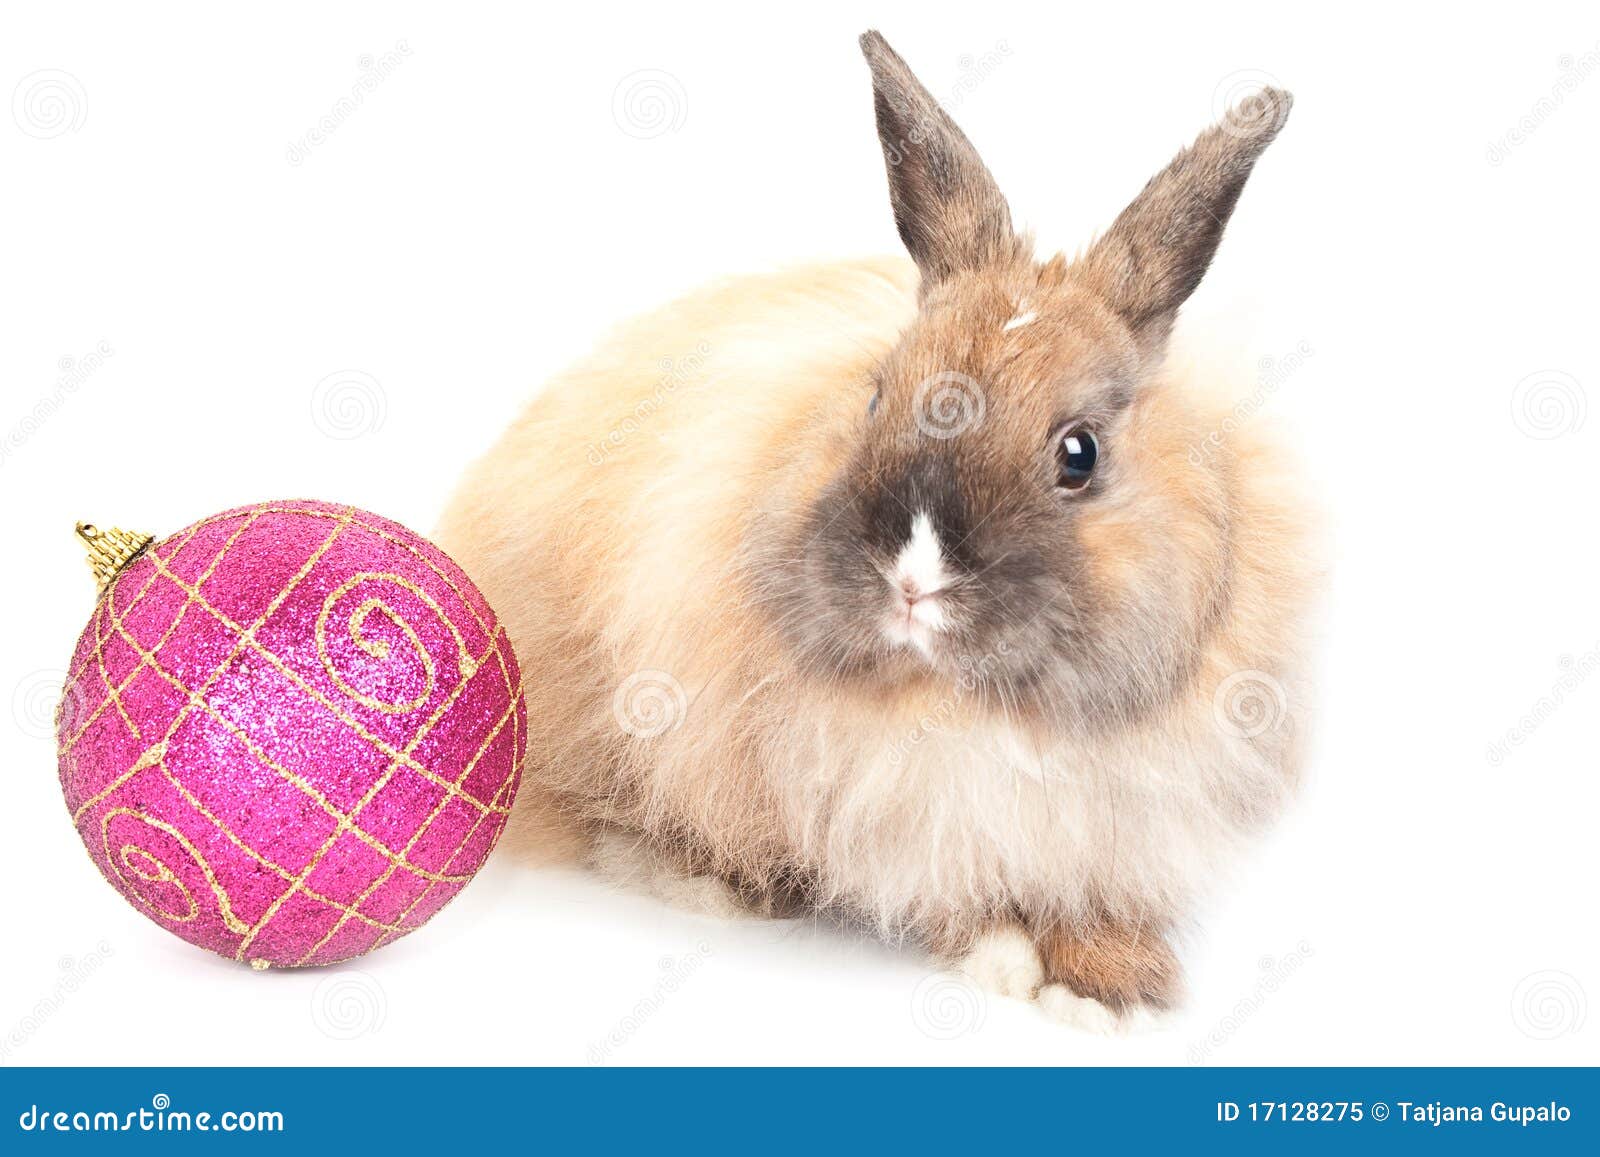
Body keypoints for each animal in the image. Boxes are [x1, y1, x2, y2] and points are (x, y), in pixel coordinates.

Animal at [436, 30, 1318, 1030]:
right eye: (874, 399)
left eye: (1080, 453)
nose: (913, 578)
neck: (966, 709)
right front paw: (1017, 958)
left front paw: (1113, 981)